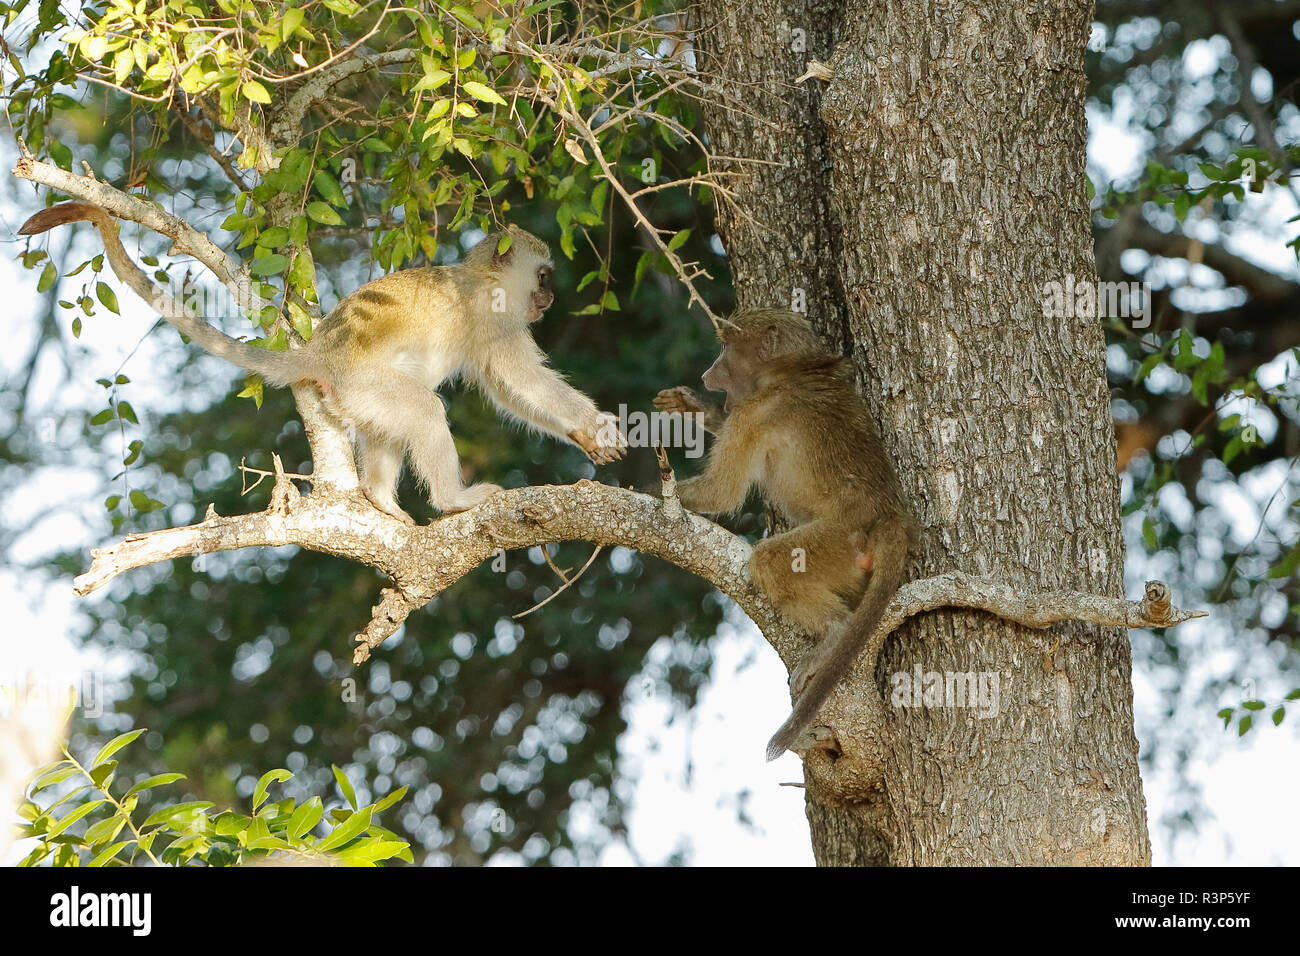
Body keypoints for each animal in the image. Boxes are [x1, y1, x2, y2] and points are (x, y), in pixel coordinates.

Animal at [20, 202, 626, 523]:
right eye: (543, 276)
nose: (550, 297)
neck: (483, 278)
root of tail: (323, 355)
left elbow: (506, 390)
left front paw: (584, 436)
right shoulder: (493, 315)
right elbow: (522, 379)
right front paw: (594, 424)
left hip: (357, 397)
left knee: (393, 423)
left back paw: (381, 498)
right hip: (363, 381)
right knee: (422, 409)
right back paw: (452, 500)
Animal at [654, 309, 915, 760]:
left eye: (726, 348)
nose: (707, 374)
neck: (788, 372)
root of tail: (888, 518)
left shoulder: (756, 411)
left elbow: (721, 492)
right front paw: (695, 409)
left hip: (840, 544)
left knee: (772, 562)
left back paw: (834, 634)